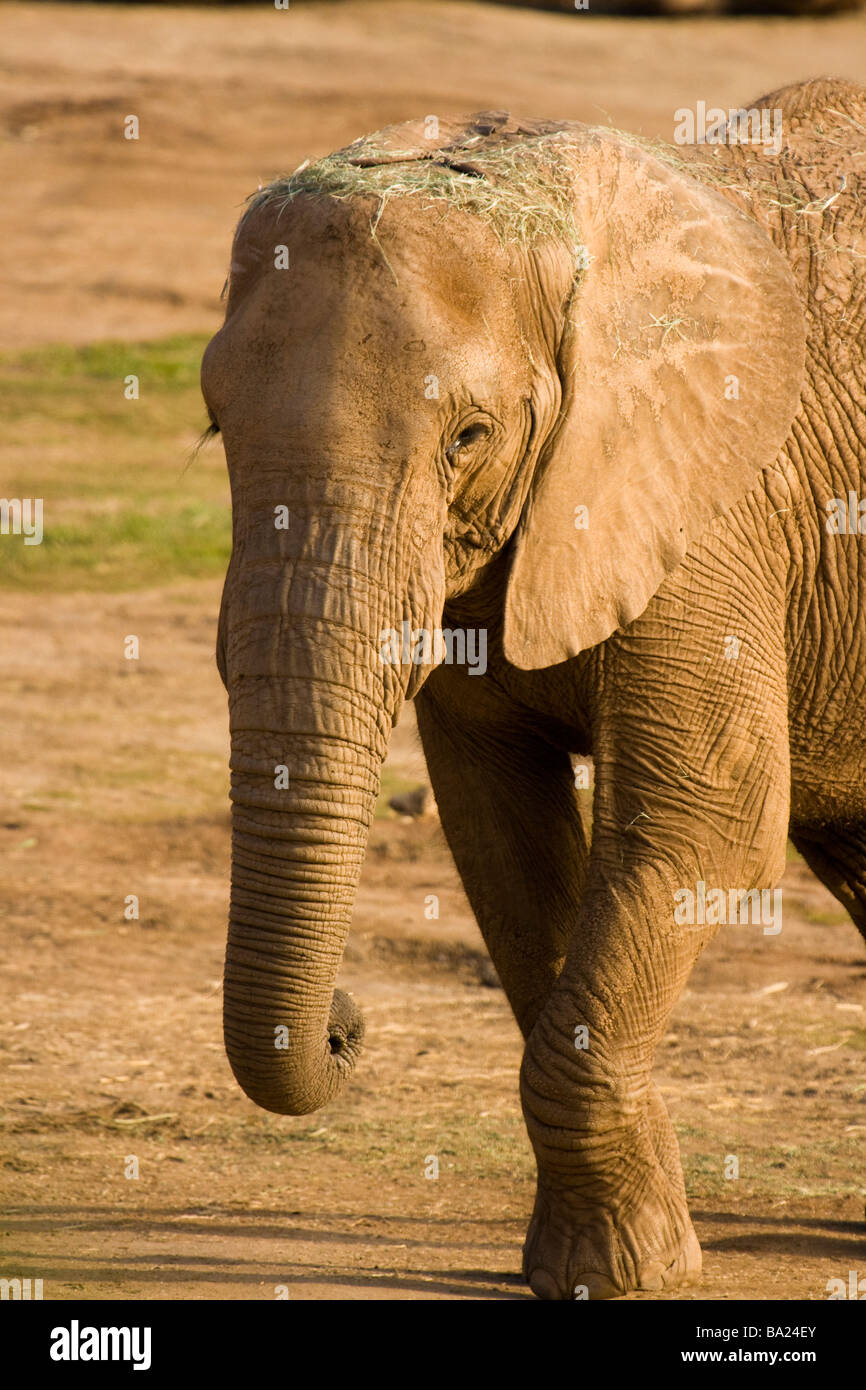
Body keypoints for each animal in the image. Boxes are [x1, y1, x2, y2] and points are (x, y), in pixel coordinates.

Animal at [201, 77, 866, 1299]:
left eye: (468, 436)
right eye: (218, 424)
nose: (346, 1024)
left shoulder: (709, 502)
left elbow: (703, 822)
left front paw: (631, 1276)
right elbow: (503, 832)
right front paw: (603, 1261)